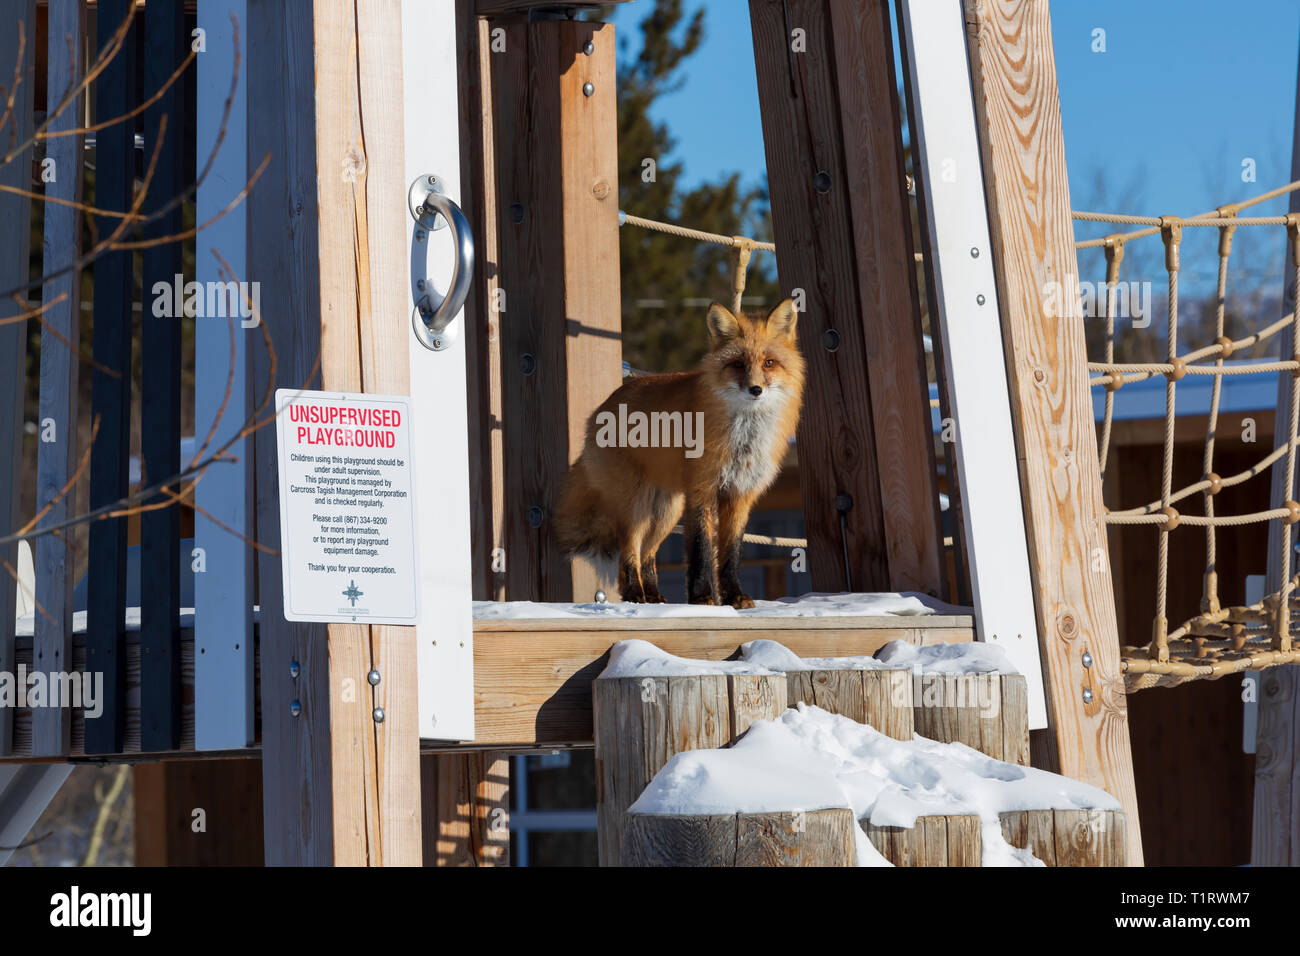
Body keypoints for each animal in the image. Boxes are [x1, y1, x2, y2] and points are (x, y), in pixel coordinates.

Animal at [554, 298, 804, 608]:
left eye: (769, 363)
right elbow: (700, 549)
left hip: (665, 512)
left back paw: (652, 595)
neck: (743, 437)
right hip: (636, 506)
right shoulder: (701, 490)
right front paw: (702, 598)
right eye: (737, 364)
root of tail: (600, 409)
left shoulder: (740, 495)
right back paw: (634, 594)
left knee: (648, 553)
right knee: (629, 551)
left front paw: (734, 596)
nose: (755, 389)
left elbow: (731, 554)